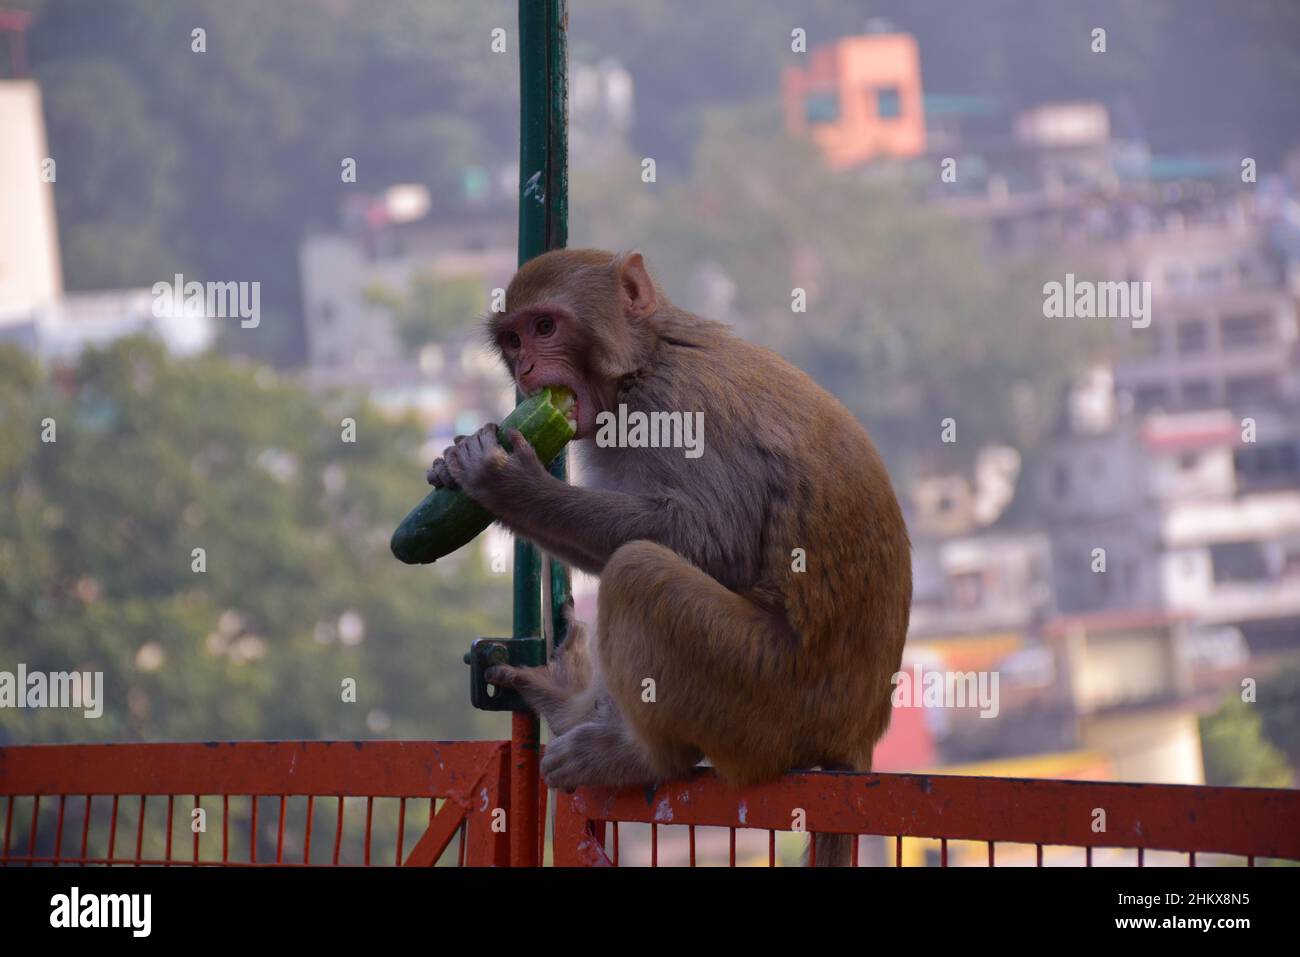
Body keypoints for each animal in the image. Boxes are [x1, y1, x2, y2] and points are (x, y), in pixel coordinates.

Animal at [427, 249, 911, 865]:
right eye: (513, 339)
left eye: (545, 327)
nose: (528, 370)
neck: (644, 358)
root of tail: (855, 739)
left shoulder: (674, 406)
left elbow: (713, 541)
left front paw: (504, 483)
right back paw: (572, 706)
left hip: (765, 696)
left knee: (639, 572)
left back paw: (641, 756)